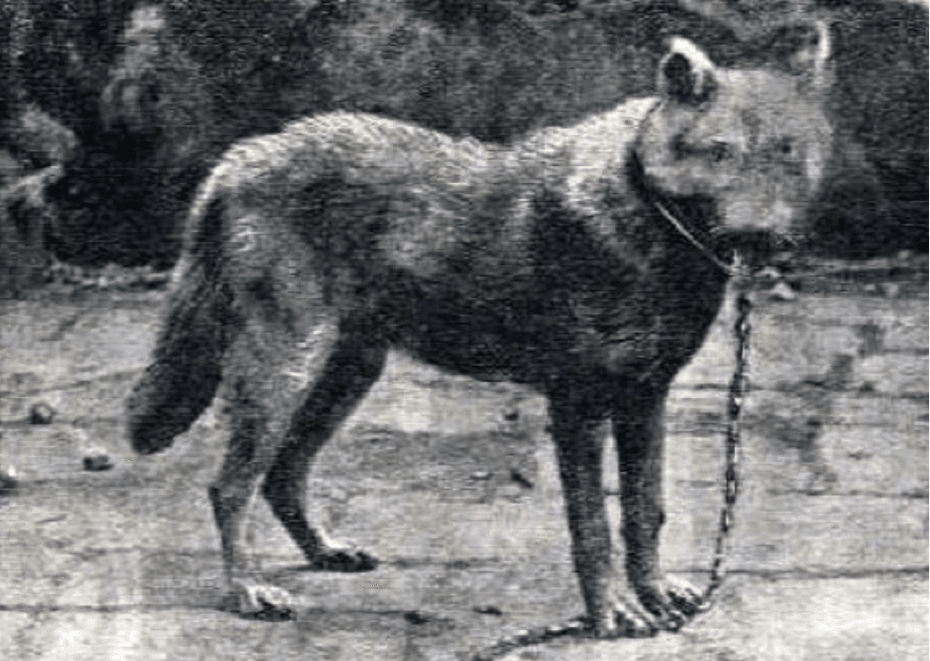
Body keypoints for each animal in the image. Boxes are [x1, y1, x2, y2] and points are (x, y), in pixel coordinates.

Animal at [126, 26, 832, 637]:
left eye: (789, 152)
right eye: (720, 151)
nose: (764, 240)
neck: (645, 209)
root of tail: (237, 160)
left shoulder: (644, 398)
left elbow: (644, 512)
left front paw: (654, 594)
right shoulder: (578, 405)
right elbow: (593, 526)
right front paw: (612, 613)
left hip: (346, 371)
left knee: (283, 474)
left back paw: (324, 551)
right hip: (283, 366)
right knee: (231, 485)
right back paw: (245, 590)